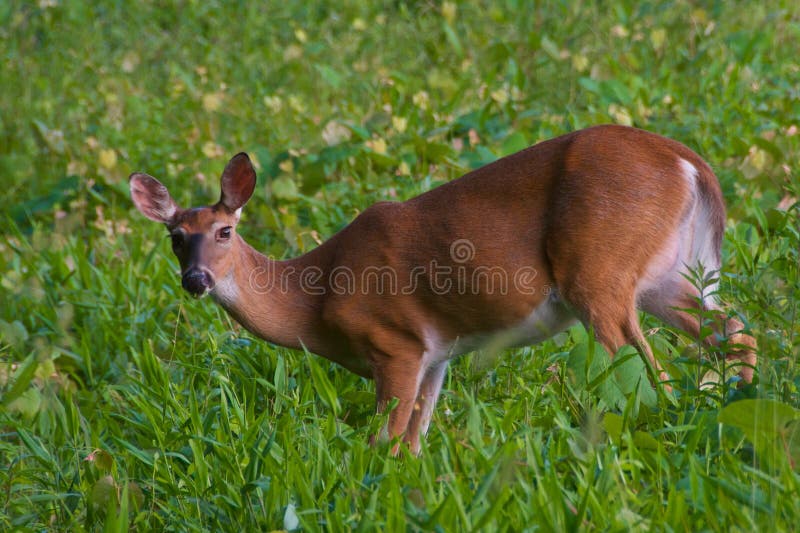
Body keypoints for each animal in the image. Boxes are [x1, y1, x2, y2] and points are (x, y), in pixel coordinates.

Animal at [130, 125, 757, 454]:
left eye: (224, 231)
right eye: (174, 238)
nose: (196, 280)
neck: (315, 300)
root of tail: (687, 162)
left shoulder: (394, 344)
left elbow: (384, 440)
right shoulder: (435, 354)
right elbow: (414, 441)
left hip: (599, 274)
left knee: (644, 366)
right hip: (664, 277)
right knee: (734, 328)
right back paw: (734, 404)